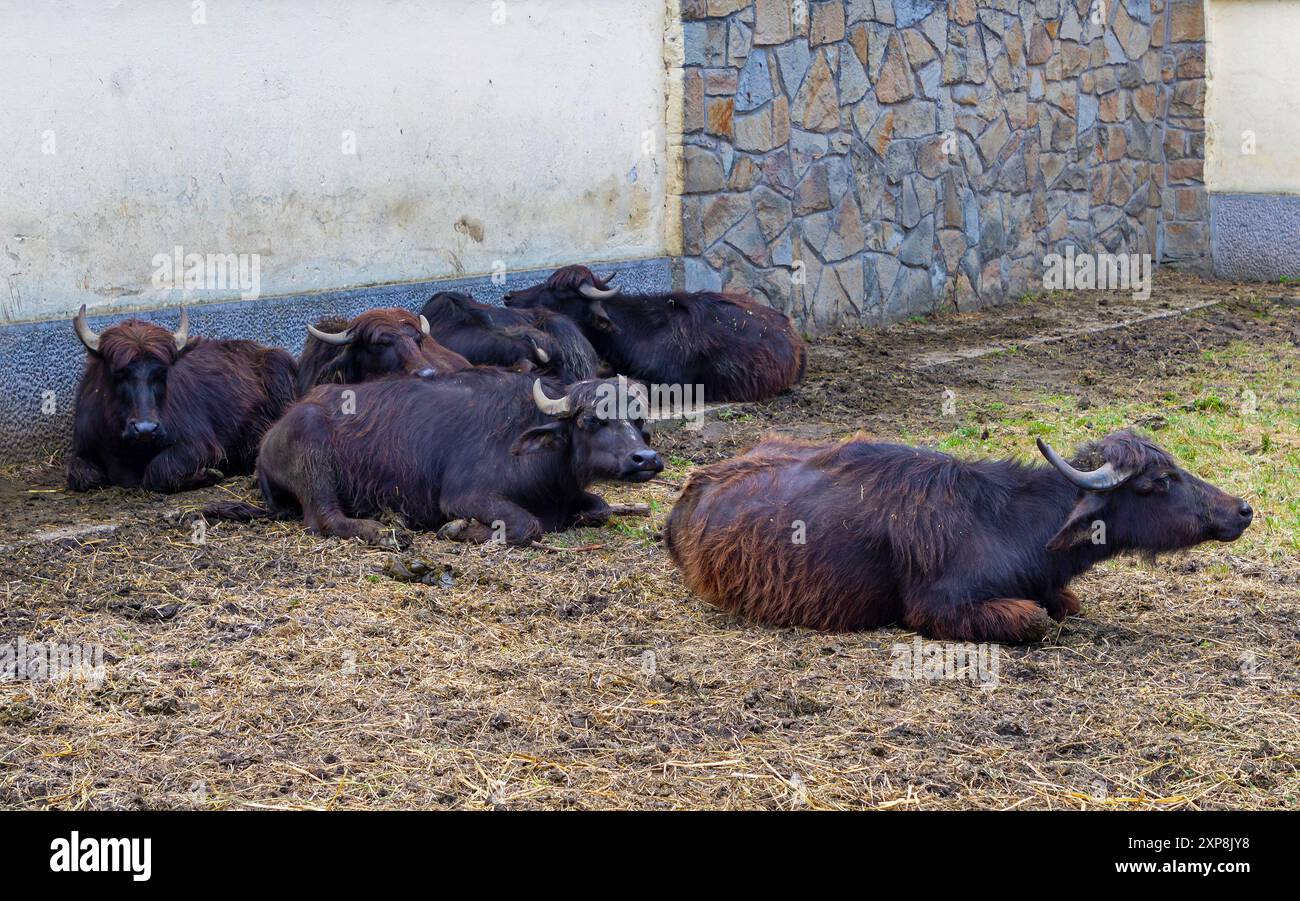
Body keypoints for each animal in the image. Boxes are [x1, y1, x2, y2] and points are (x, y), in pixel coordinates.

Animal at [66, 305, 297, 493]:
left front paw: (210, 474)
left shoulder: (200, 446)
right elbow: (84, 477)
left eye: (161, 374)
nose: (145, 429)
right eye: (120, 373)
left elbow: (157, 471)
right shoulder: (82, 449)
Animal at [211, 371, 663, 545]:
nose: (645, 459)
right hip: (315, 462)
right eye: (590, 420)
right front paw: (459, 529)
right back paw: (384, 531)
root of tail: (271, 438)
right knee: (325, 518)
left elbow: (600, 508)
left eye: (637, 418)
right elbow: (525, 524)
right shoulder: (464, 495)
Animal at [664, 429, 1253, 643]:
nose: (1243, 509)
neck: (1007, 521)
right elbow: (1036, 621)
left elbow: (1066, 604)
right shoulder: (937, 607)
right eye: (1161, 481)